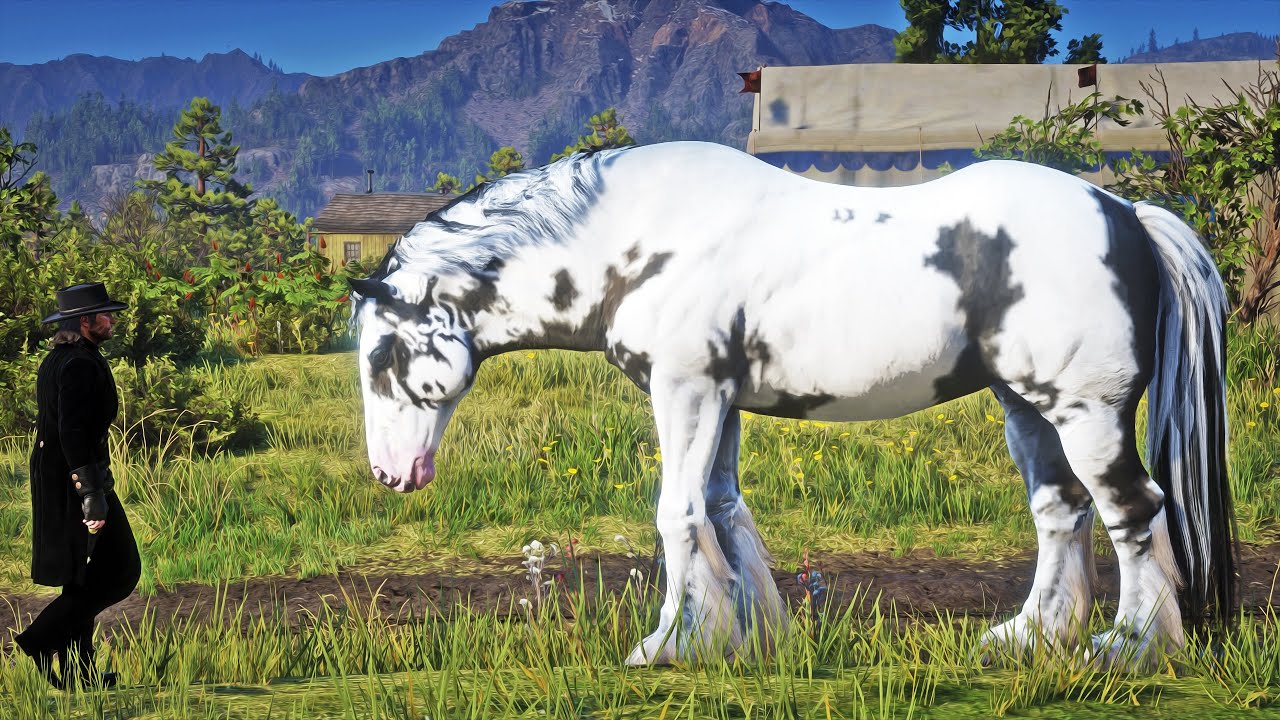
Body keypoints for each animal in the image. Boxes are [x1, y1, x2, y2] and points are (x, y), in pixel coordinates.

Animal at [348, 140, 1236, 669]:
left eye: (381, 356)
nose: (393, 473)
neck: (633, 242)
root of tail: (1126, 214)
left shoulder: (686, 389)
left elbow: (675, 515)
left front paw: (668, 645)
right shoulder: (718, 399)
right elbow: (720, 511)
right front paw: (740, 636)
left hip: (1087, 412)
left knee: (1133, 512)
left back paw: (1129, 647)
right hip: (1028, 407)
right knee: (1061, 511)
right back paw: (1030, 636)